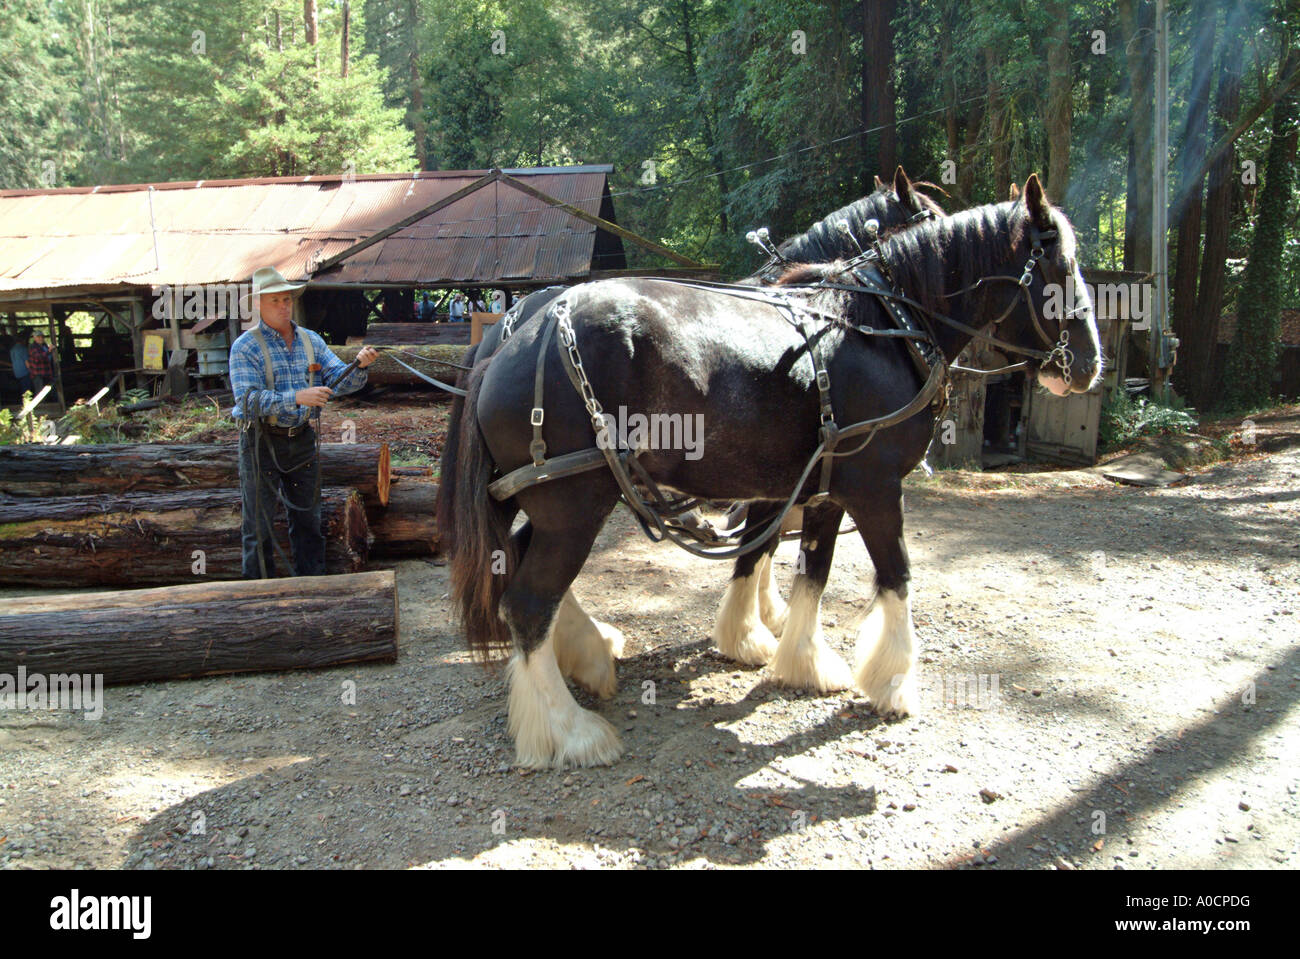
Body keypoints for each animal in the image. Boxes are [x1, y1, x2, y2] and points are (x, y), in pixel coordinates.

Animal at [439, 174, 1097, 769]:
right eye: (1061, 266)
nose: (1090, 363)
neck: (886, 324)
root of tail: (513, 339)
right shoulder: (875, 485)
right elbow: (894, 575)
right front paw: (892, 683)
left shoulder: (819, 487)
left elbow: (800, 567)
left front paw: (793, 656)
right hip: (575, 503)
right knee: (529, 602)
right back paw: (568, 731)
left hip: (552, 501)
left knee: (525, 570)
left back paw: (590, 654)